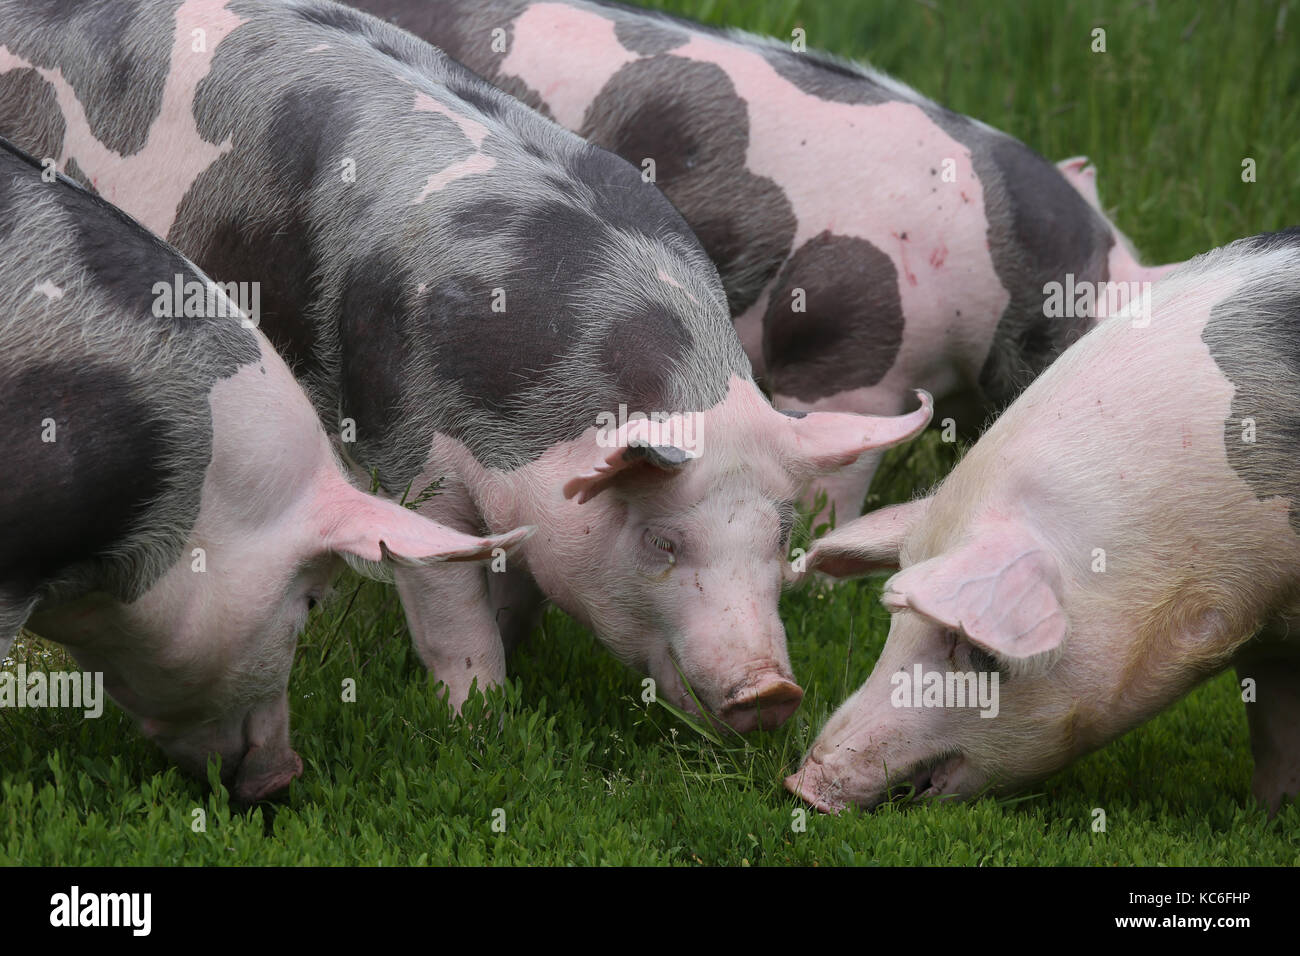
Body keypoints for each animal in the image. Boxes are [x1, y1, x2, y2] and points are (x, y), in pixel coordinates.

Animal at [0, 0, 934, 732]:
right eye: (663, 539)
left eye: (780, 536)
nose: (772, 695)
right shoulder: (412, 457)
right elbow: (450, 601)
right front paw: (478, 718)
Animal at [786, 228, 1300, 815]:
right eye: (893, 623)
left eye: (981, 652)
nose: (802, 785)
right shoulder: (1266, 635)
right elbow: (1275, 732)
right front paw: (1269, 815)